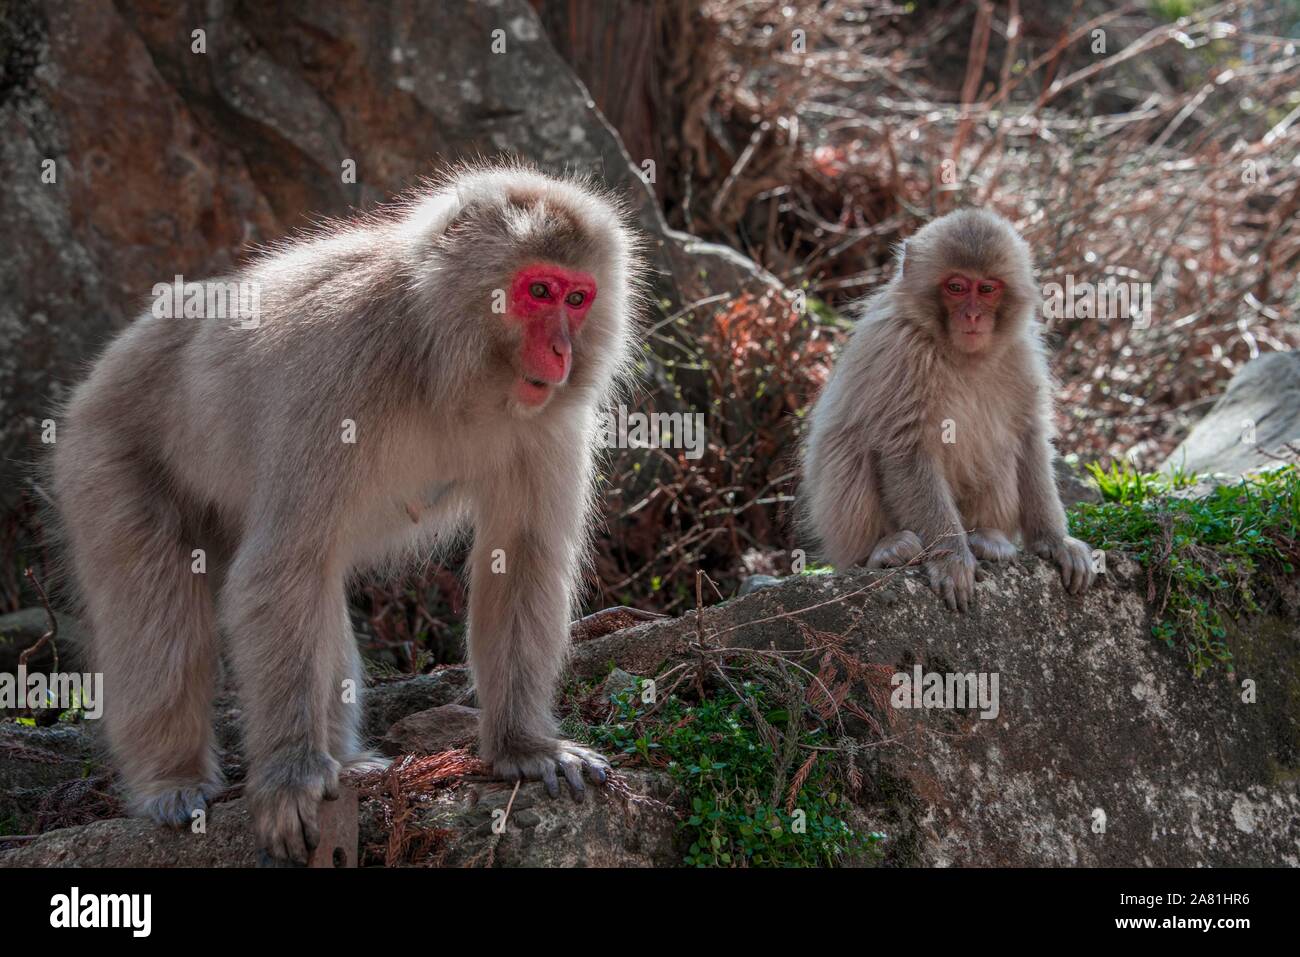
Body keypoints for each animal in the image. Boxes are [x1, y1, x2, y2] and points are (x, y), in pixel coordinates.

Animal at [50, 162, 643, 864]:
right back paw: (173, 780)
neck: (441, 358)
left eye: (578, 299)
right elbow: (280, 568)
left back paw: (347, 762)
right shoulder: (341, 365)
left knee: (316, 589)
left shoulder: (546, 421)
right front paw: (292, 778)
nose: (561, 354)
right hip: (102, 454)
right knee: (158, 605)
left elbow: (522, 556)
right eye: (539, 290)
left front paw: (524, 746)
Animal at [801, 208, 1094, 611]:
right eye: (956, 287)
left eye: (986, 289)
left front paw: (1054, 540)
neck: (958, 353)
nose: (972, 316)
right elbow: (905, 447)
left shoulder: (1020, 352)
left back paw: (988, 538)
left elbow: (1029, 436)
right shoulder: (900, 350)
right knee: (849, 443)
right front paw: (951, 557)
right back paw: (883, 550)